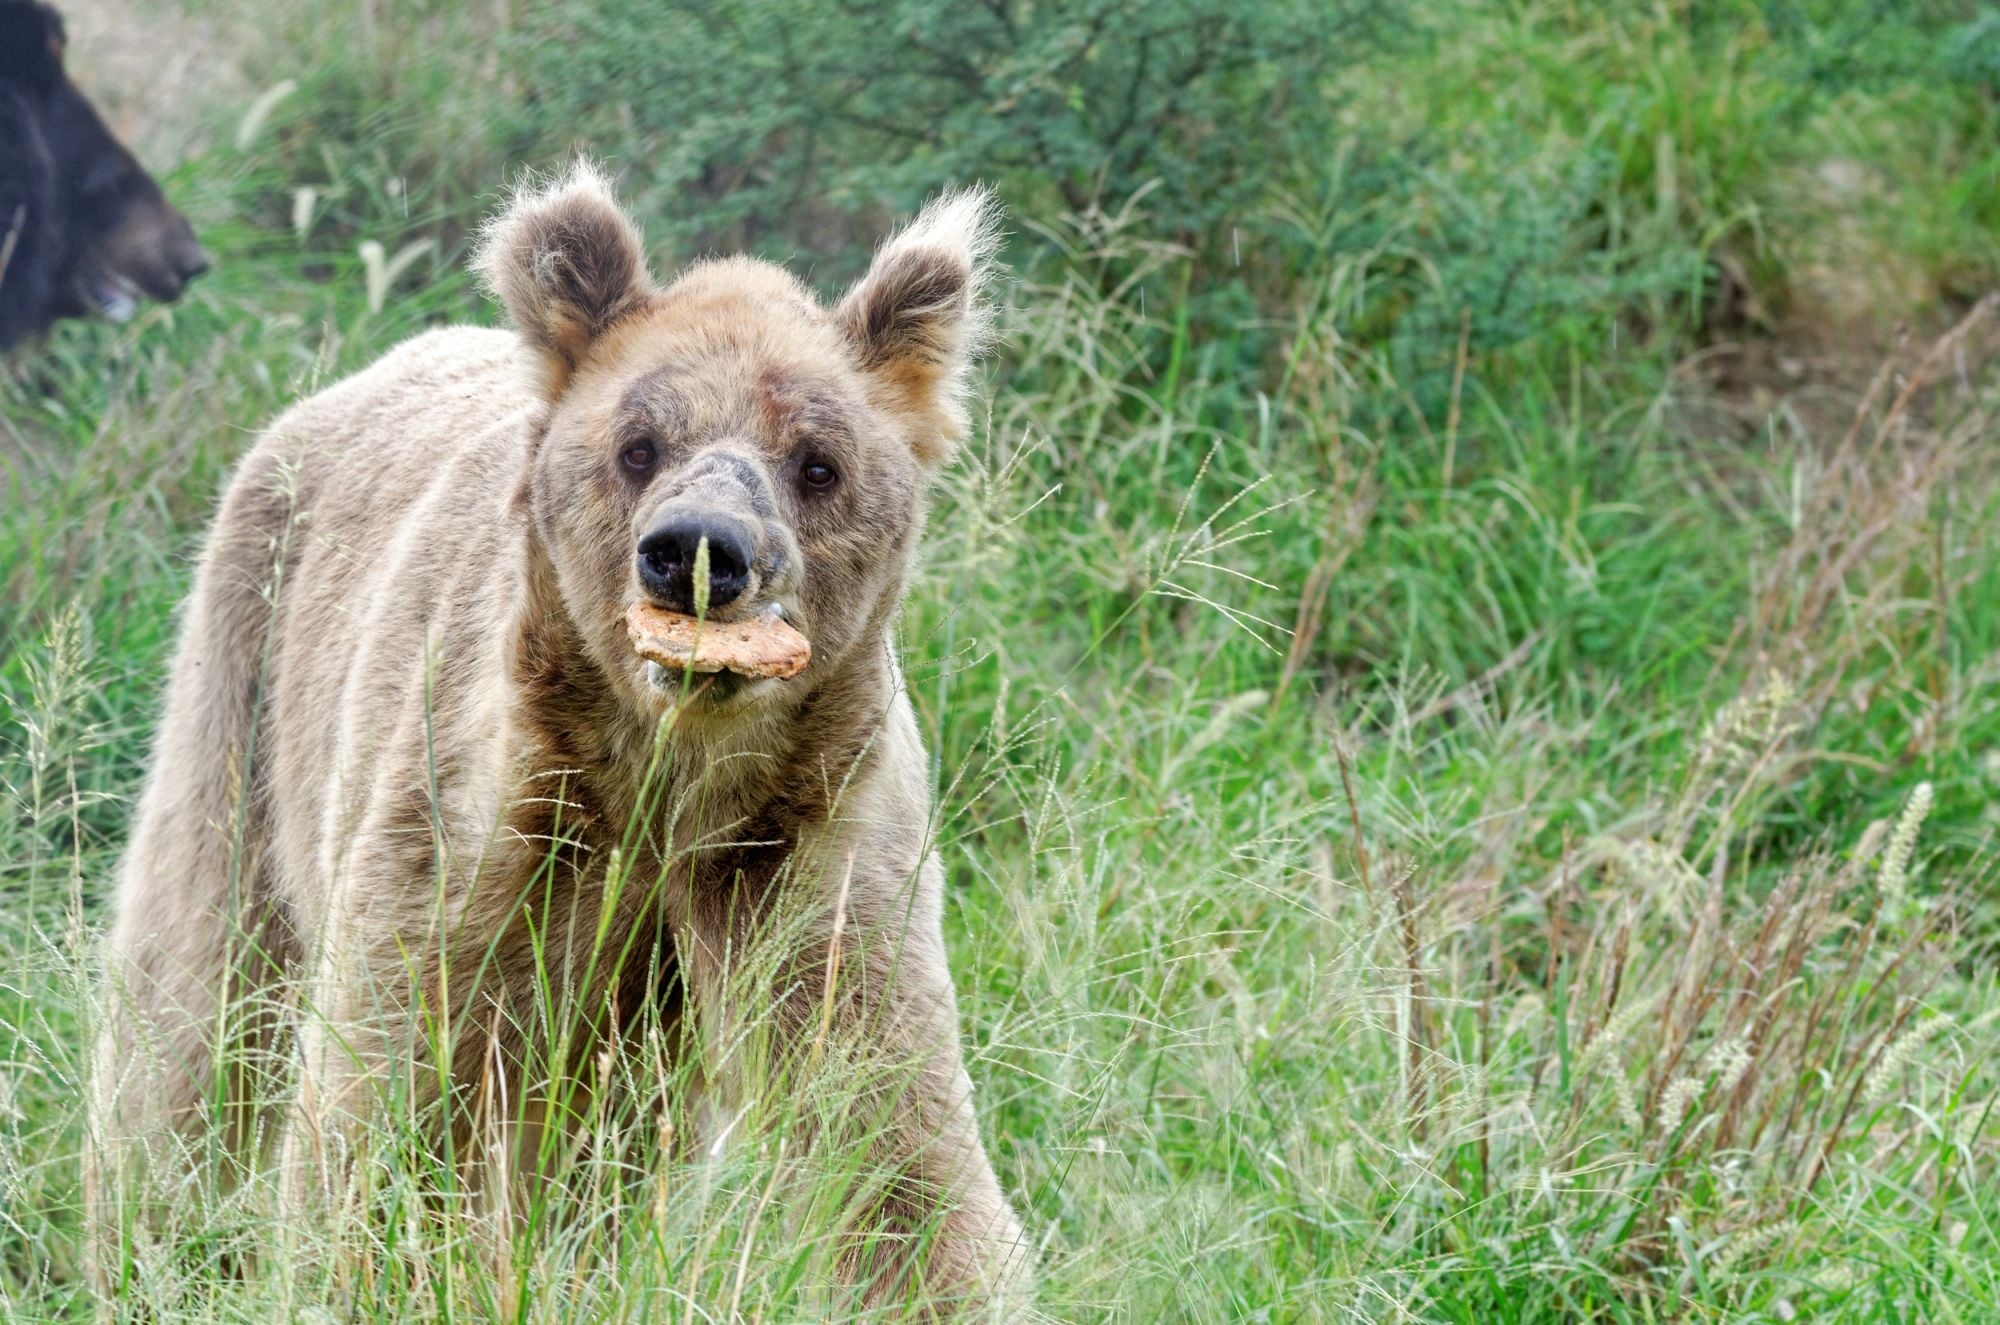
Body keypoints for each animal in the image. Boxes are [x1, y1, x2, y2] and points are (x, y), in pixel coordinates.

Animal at [87, 164, 1028, 1314]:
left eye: (817, 462)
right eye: (639, 444)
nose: (698, 551)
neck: (667, 777)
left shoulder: (806, 842)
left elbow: (888, 1132)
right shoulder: (490, 828)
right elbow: (388, 1098)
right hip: (250, 663)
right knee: (195, 991)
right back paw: (150, 1246)